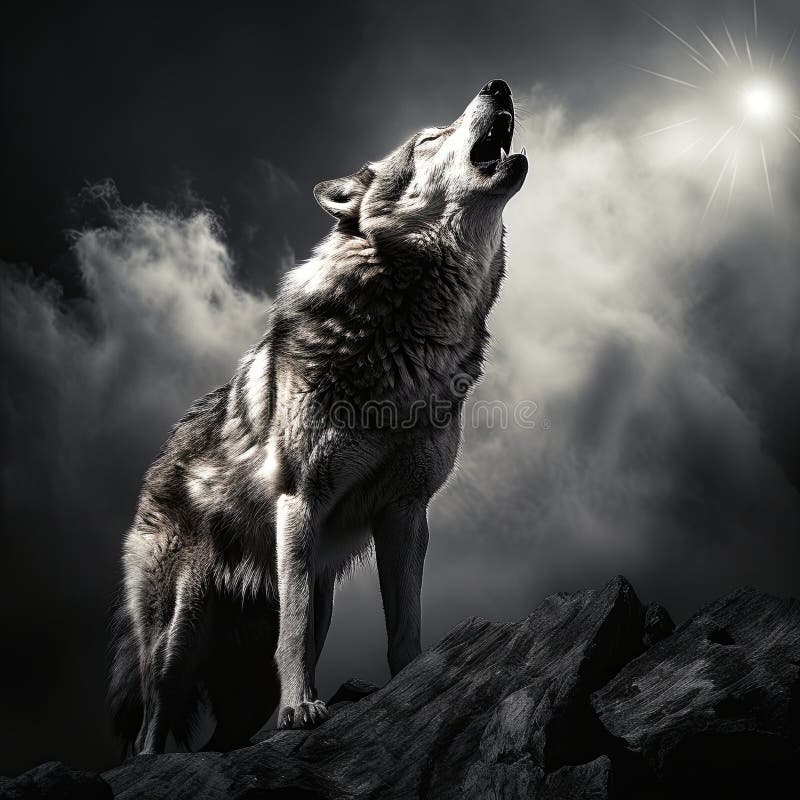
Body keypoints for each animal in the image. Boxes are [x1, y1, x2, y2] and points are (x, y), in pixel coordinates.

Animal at [108, 79, 527, 754]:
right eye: (428, 139)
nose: (498, 84)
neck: (405, 337)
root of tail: (159, 460)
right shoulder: (301, 499)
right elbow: (295, 627)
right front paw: (302, 707)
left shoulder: (406, 511)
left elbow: (404, 624)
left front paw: (413, 684)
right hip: (179, 634)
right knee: (150, 731)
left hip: (251, 674)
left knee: (219, 740)